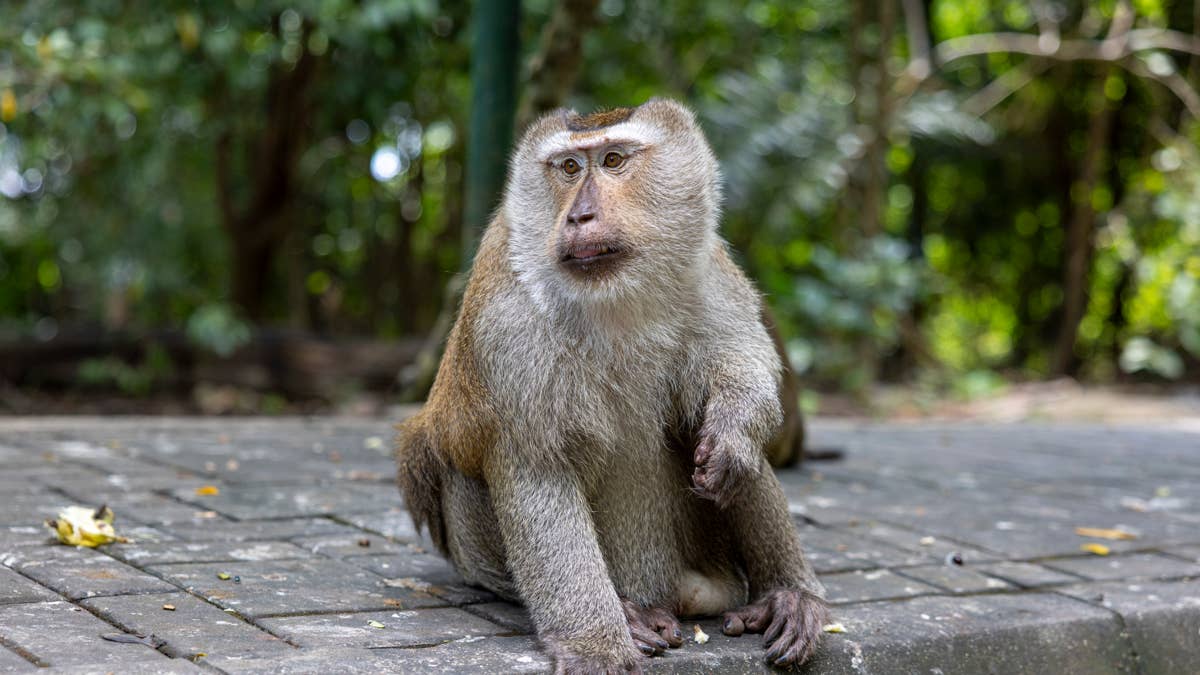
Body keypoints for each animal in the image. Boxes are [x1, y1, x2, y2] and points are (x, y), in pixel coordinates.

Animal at [396, 98, 828, 673]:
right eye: (569, 167)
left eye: (614, 160)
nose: (579, 216)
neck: (614, 300)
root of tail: (680, 590)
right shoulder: (509, 321)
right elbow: (536, 467)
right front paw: (595, 645)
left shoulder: (707, 265)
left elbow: (744, 362)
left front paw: (733, 430)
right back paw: (628, 611)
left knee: (713, 436)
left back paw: (789, 595)